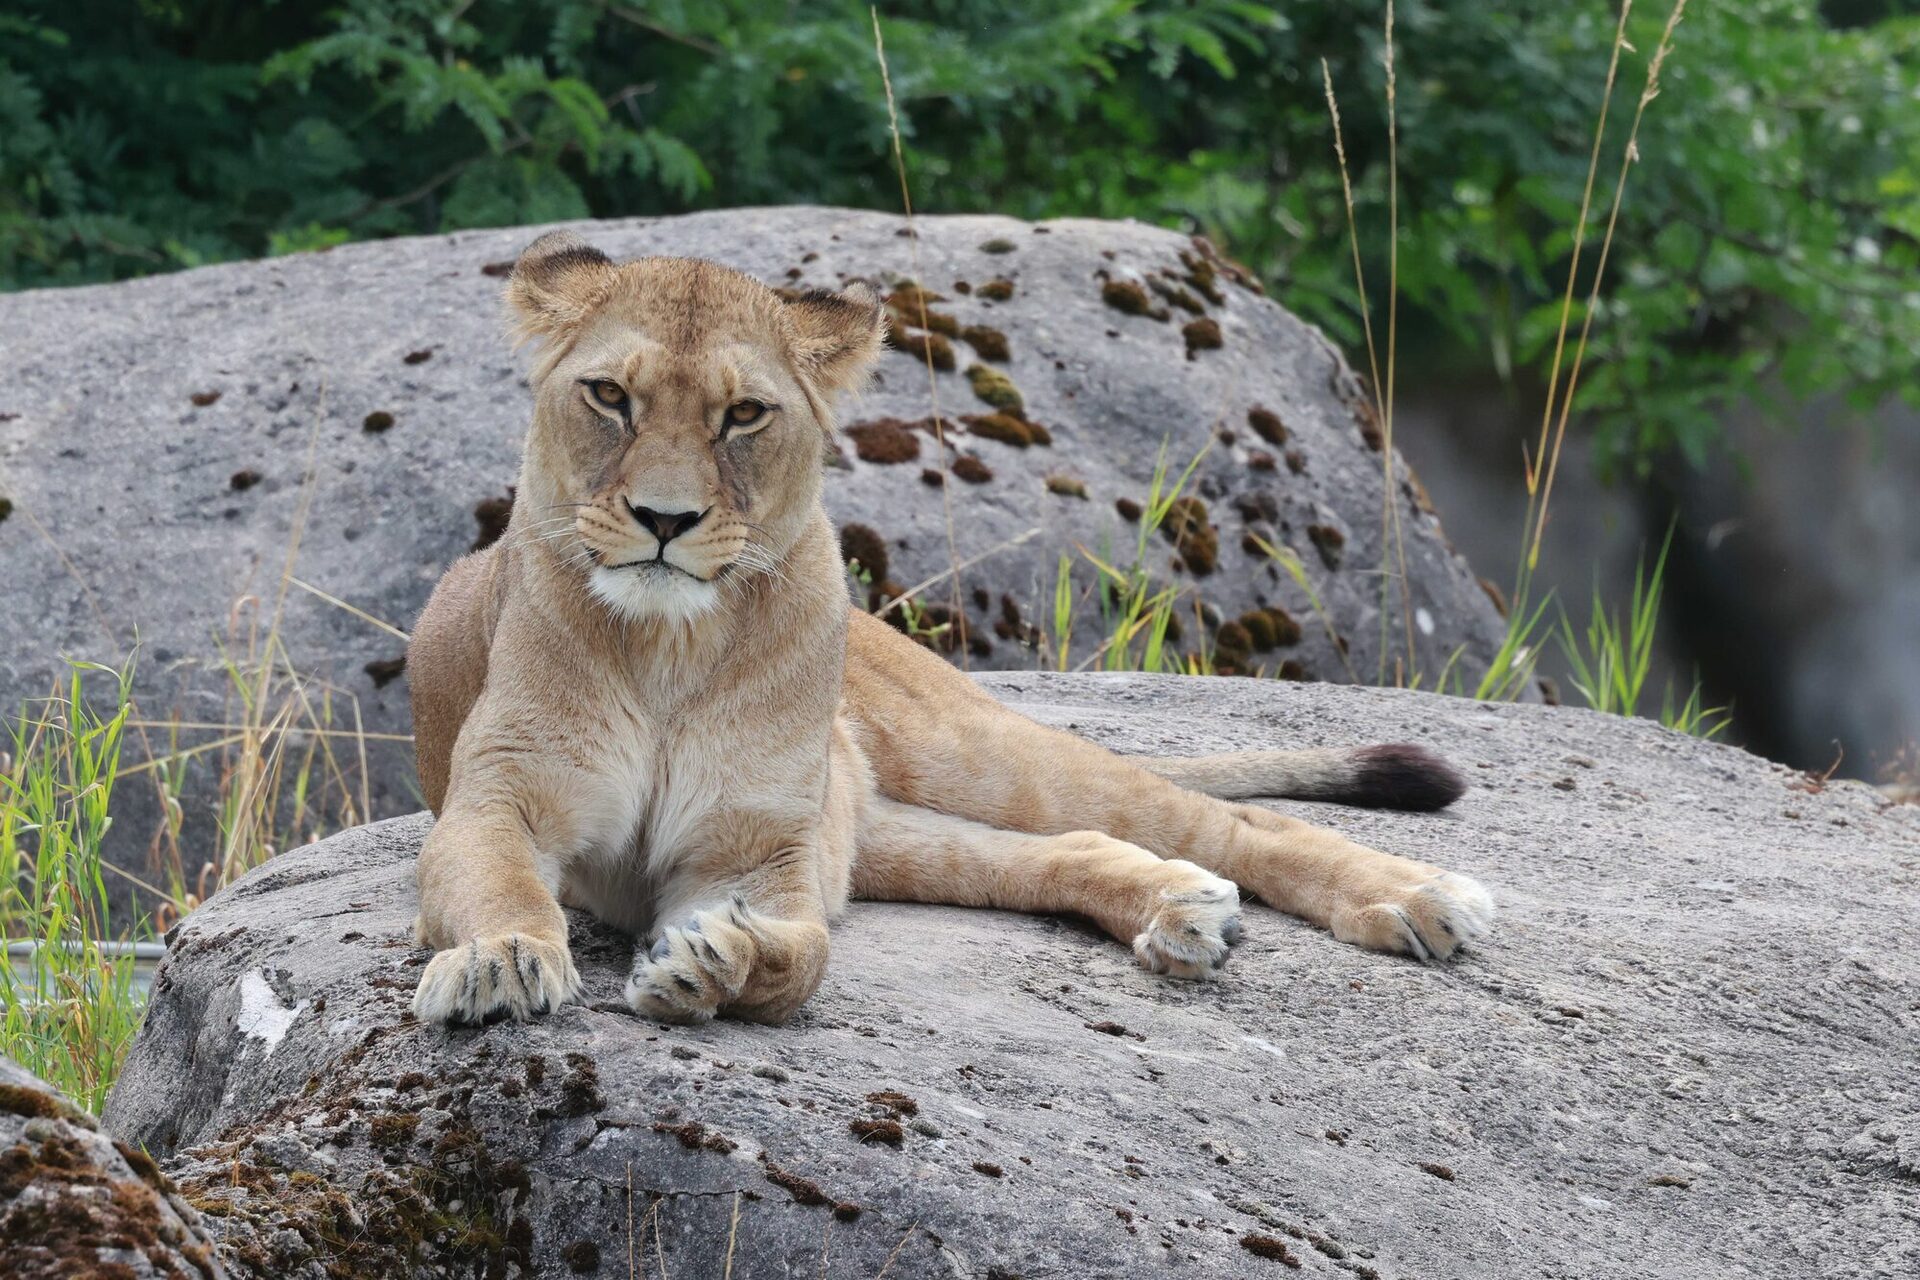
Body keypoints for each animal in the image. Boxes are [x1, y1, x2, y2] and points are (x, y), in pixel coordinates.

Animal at [405, 231, 1494, 1026]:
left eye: (744, 414)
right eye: (609, 395)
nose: (664, 520)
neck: (671, 648)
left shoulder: (760, 850)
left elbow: (807, 953)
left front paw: (720, 959)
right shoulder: (496, 799)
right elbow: (502, 883)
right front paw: (502, 962)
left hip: (965, 752)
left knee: (1234, 821)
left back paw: (1419, 898)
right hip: (887, 825)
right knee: (1067, 849)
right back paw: (1187, 912)